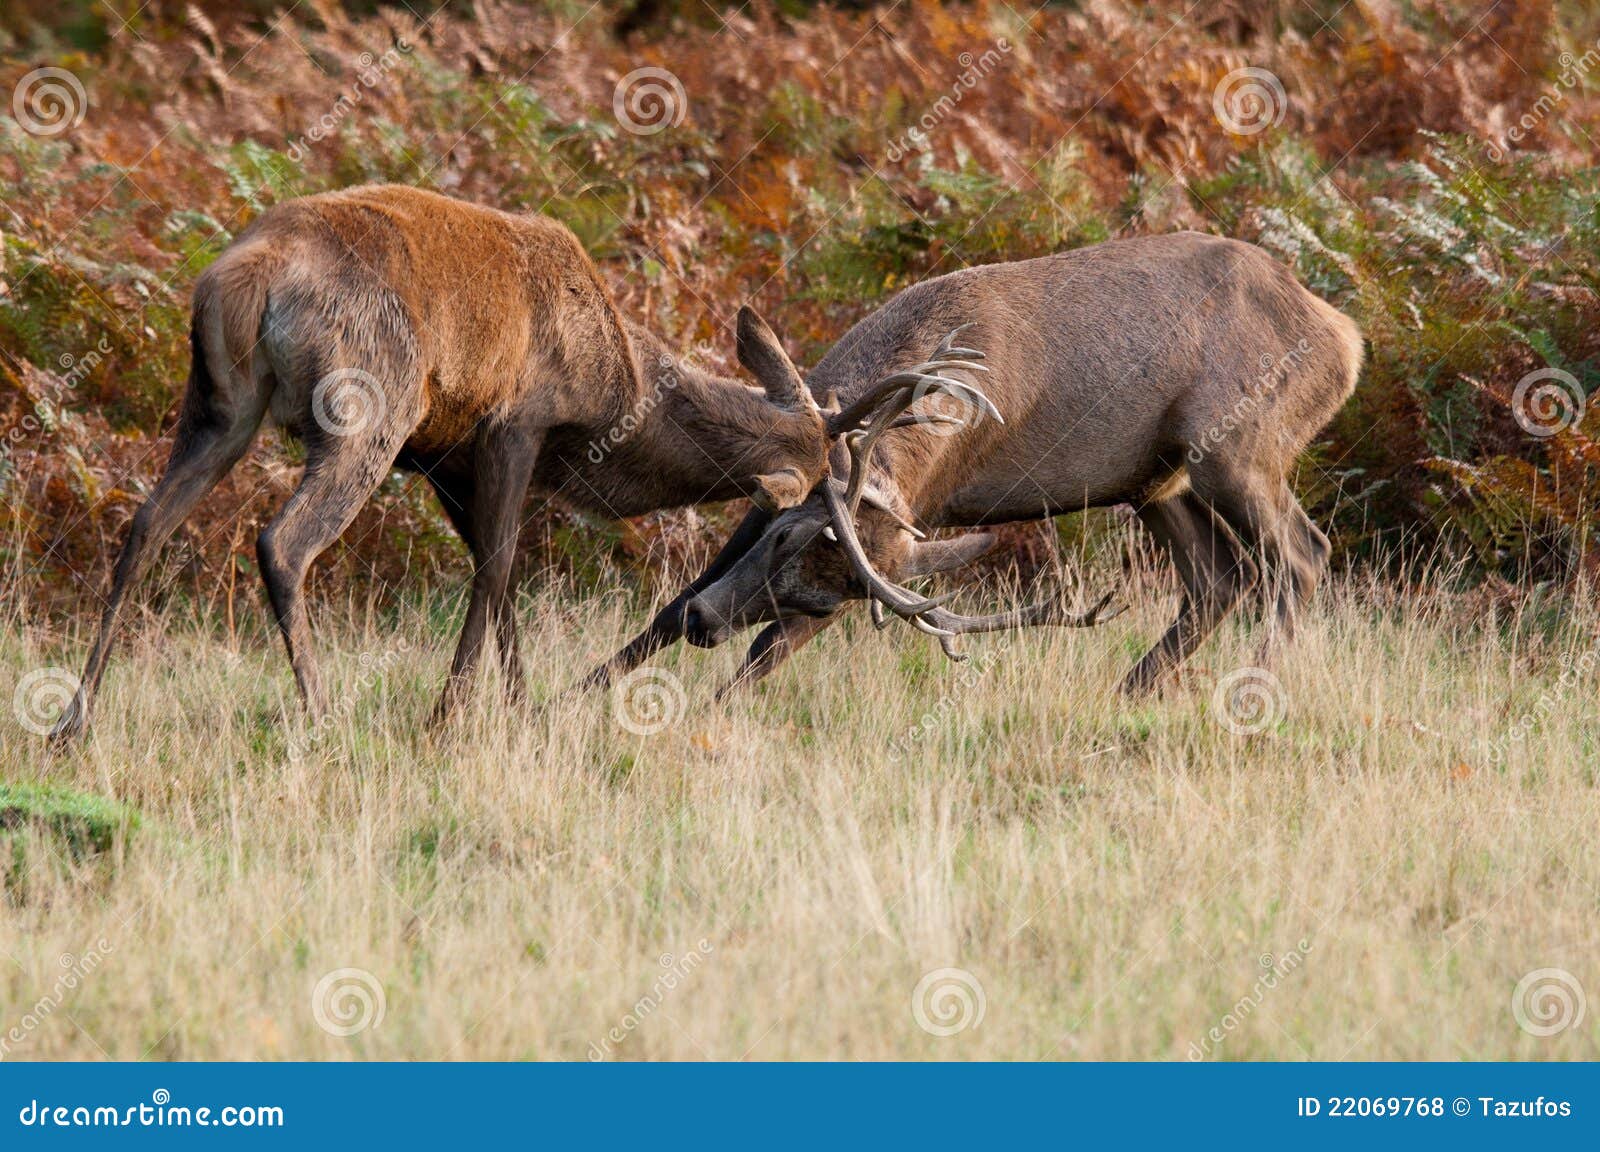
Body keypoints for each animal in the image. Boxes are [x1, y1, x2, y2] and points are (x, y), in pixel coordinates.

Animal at [49, 184, 832, 744]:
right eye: (803, 514)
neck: (617, 387)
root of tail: (245, 277)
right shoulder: (515, 422)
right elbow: (498, 564)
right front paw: (449, 718)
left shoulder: (442, 458)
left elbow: (500, 568)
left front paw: (517, 710)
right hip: (370, 404)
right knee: (282, 542)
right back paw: (322, 718)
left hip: (217, 404)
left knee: (147, 524)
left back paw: (71, 722)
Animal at [587, 230, 1364, 696]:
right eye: (785, 537)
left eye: (831, 598)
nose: (708, 626)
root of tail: (1347, 340)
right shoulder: (781, 486)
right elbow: (669, 605)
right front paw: (583, 692)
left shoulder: (909, 531)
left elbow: (762, 660)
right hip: (1155, 479)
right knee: (1219, 577)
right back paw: (1128, 693)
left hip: (1237, 448)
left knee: (1299, 555)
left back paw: (1253, 688)